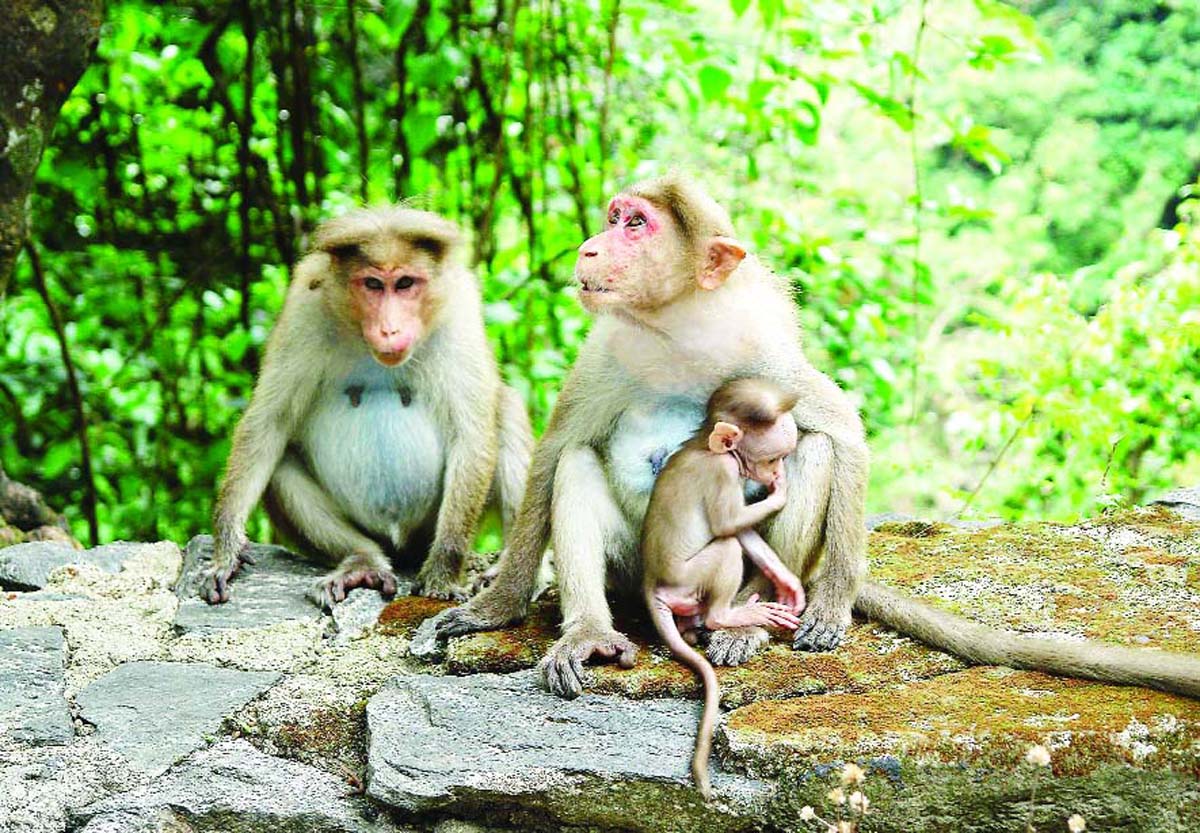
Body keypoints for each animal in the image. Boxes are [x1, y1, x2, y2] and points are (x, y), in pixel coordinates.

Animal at [203, 206, 533, 609]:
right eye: (374, 285)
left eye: (405, 283)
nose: (389, 330)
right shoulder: (304, 306)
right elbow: (269, 423)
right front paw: (226, 547)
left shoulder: (460, 308)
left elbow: (470, 435)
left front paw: (442, 573)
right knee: (279, 461)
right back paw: (361, 561)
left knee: (506, 407)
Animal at [418, 173, 1200, 703]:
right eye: (614, 216)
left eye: (635, 224)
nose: (590, 246)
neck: (676, 324)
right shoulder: (608, 348)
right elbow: (559, 450)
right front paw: (496, 604)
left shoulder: (763, 349)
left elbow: (841, 432)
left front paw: (830, 602)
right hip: (634, 575)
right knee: (580, 466)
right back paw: (587, 630)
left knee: (814, 450)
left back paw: (748, 621)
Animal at [642, 378, 807, 798]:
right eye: (773, 458)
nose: (777, 472)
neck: (704, 445)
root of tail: (651, 584)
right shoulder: (722, 472)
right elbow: (728, 524)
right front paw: (779, 494)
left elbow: (742, 530)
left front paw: (788, 583)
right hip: (688, 578)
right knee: (726, 548)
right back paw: (727, 617)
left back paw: (693, 630)